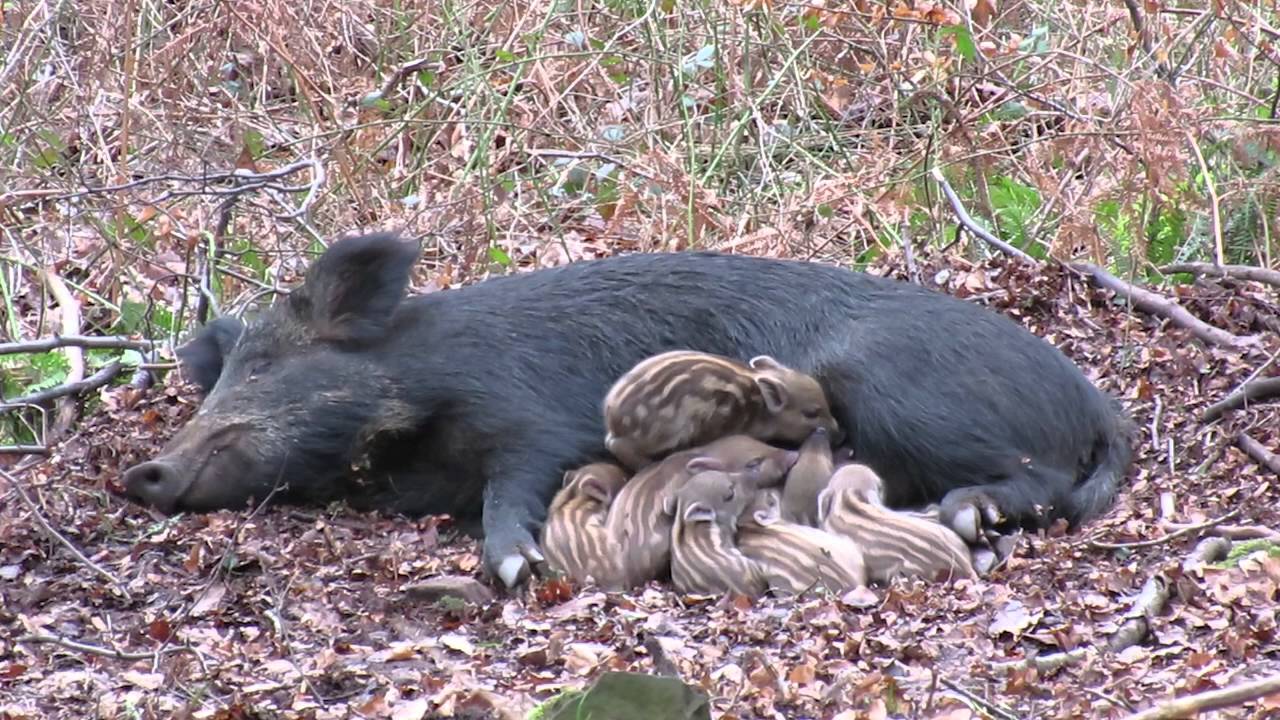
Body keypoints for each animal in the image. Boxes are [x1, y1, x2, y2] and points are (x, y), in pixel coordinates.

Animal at [601, 350, 841, 470]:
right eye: (811, 413)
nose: (842, 435)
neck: (760, 410)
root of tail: (614, 420)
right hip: (662, 433)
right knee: (616, 445)